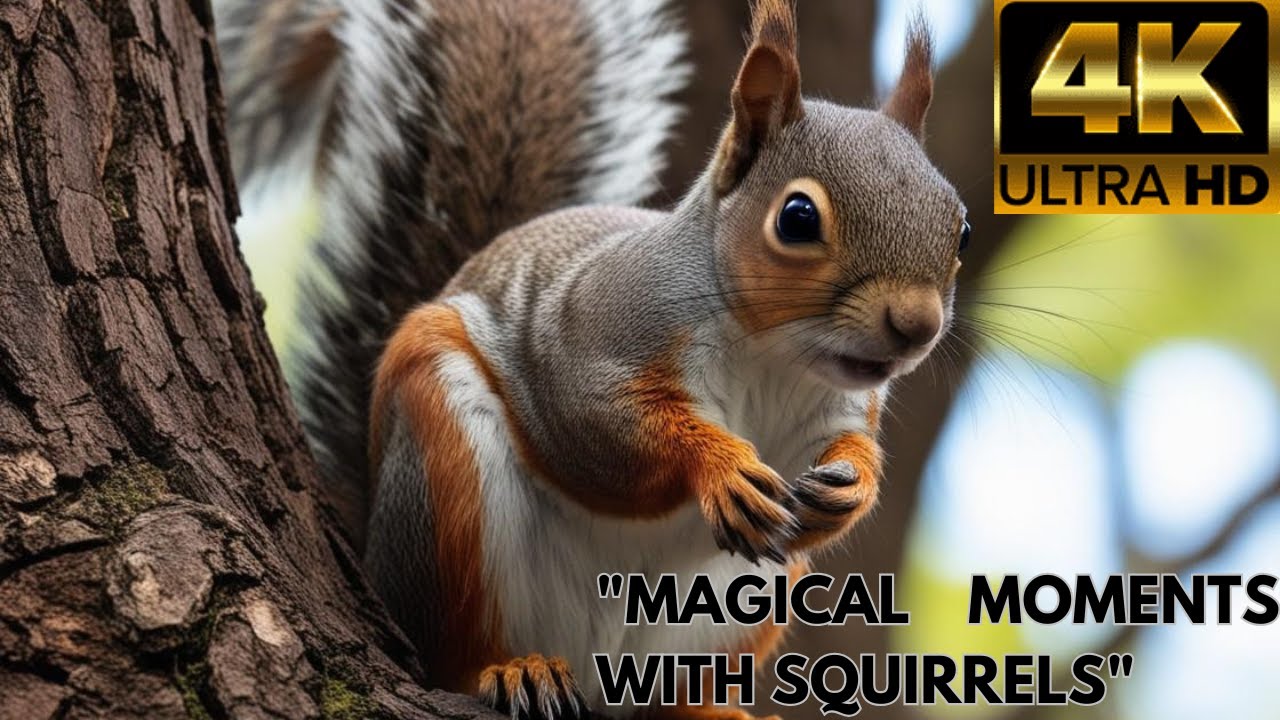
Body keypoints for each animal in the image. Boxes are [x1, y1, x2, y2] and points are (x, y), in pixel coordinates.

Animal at [216, 0, 967, 719]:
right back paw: (510, 670)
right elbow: (604, 431)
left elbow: (845, 447)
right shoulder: (595, 338)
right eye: (798, 218)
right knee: (449, 652)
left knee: (664, 700)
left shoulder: (837, 407)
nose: (916, 326)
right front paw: (718, 465)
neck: (773, 354)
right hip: (441, 481)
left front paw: (852, 488)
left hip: (744, 603)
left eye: (960, 228)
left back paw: (707, 711)